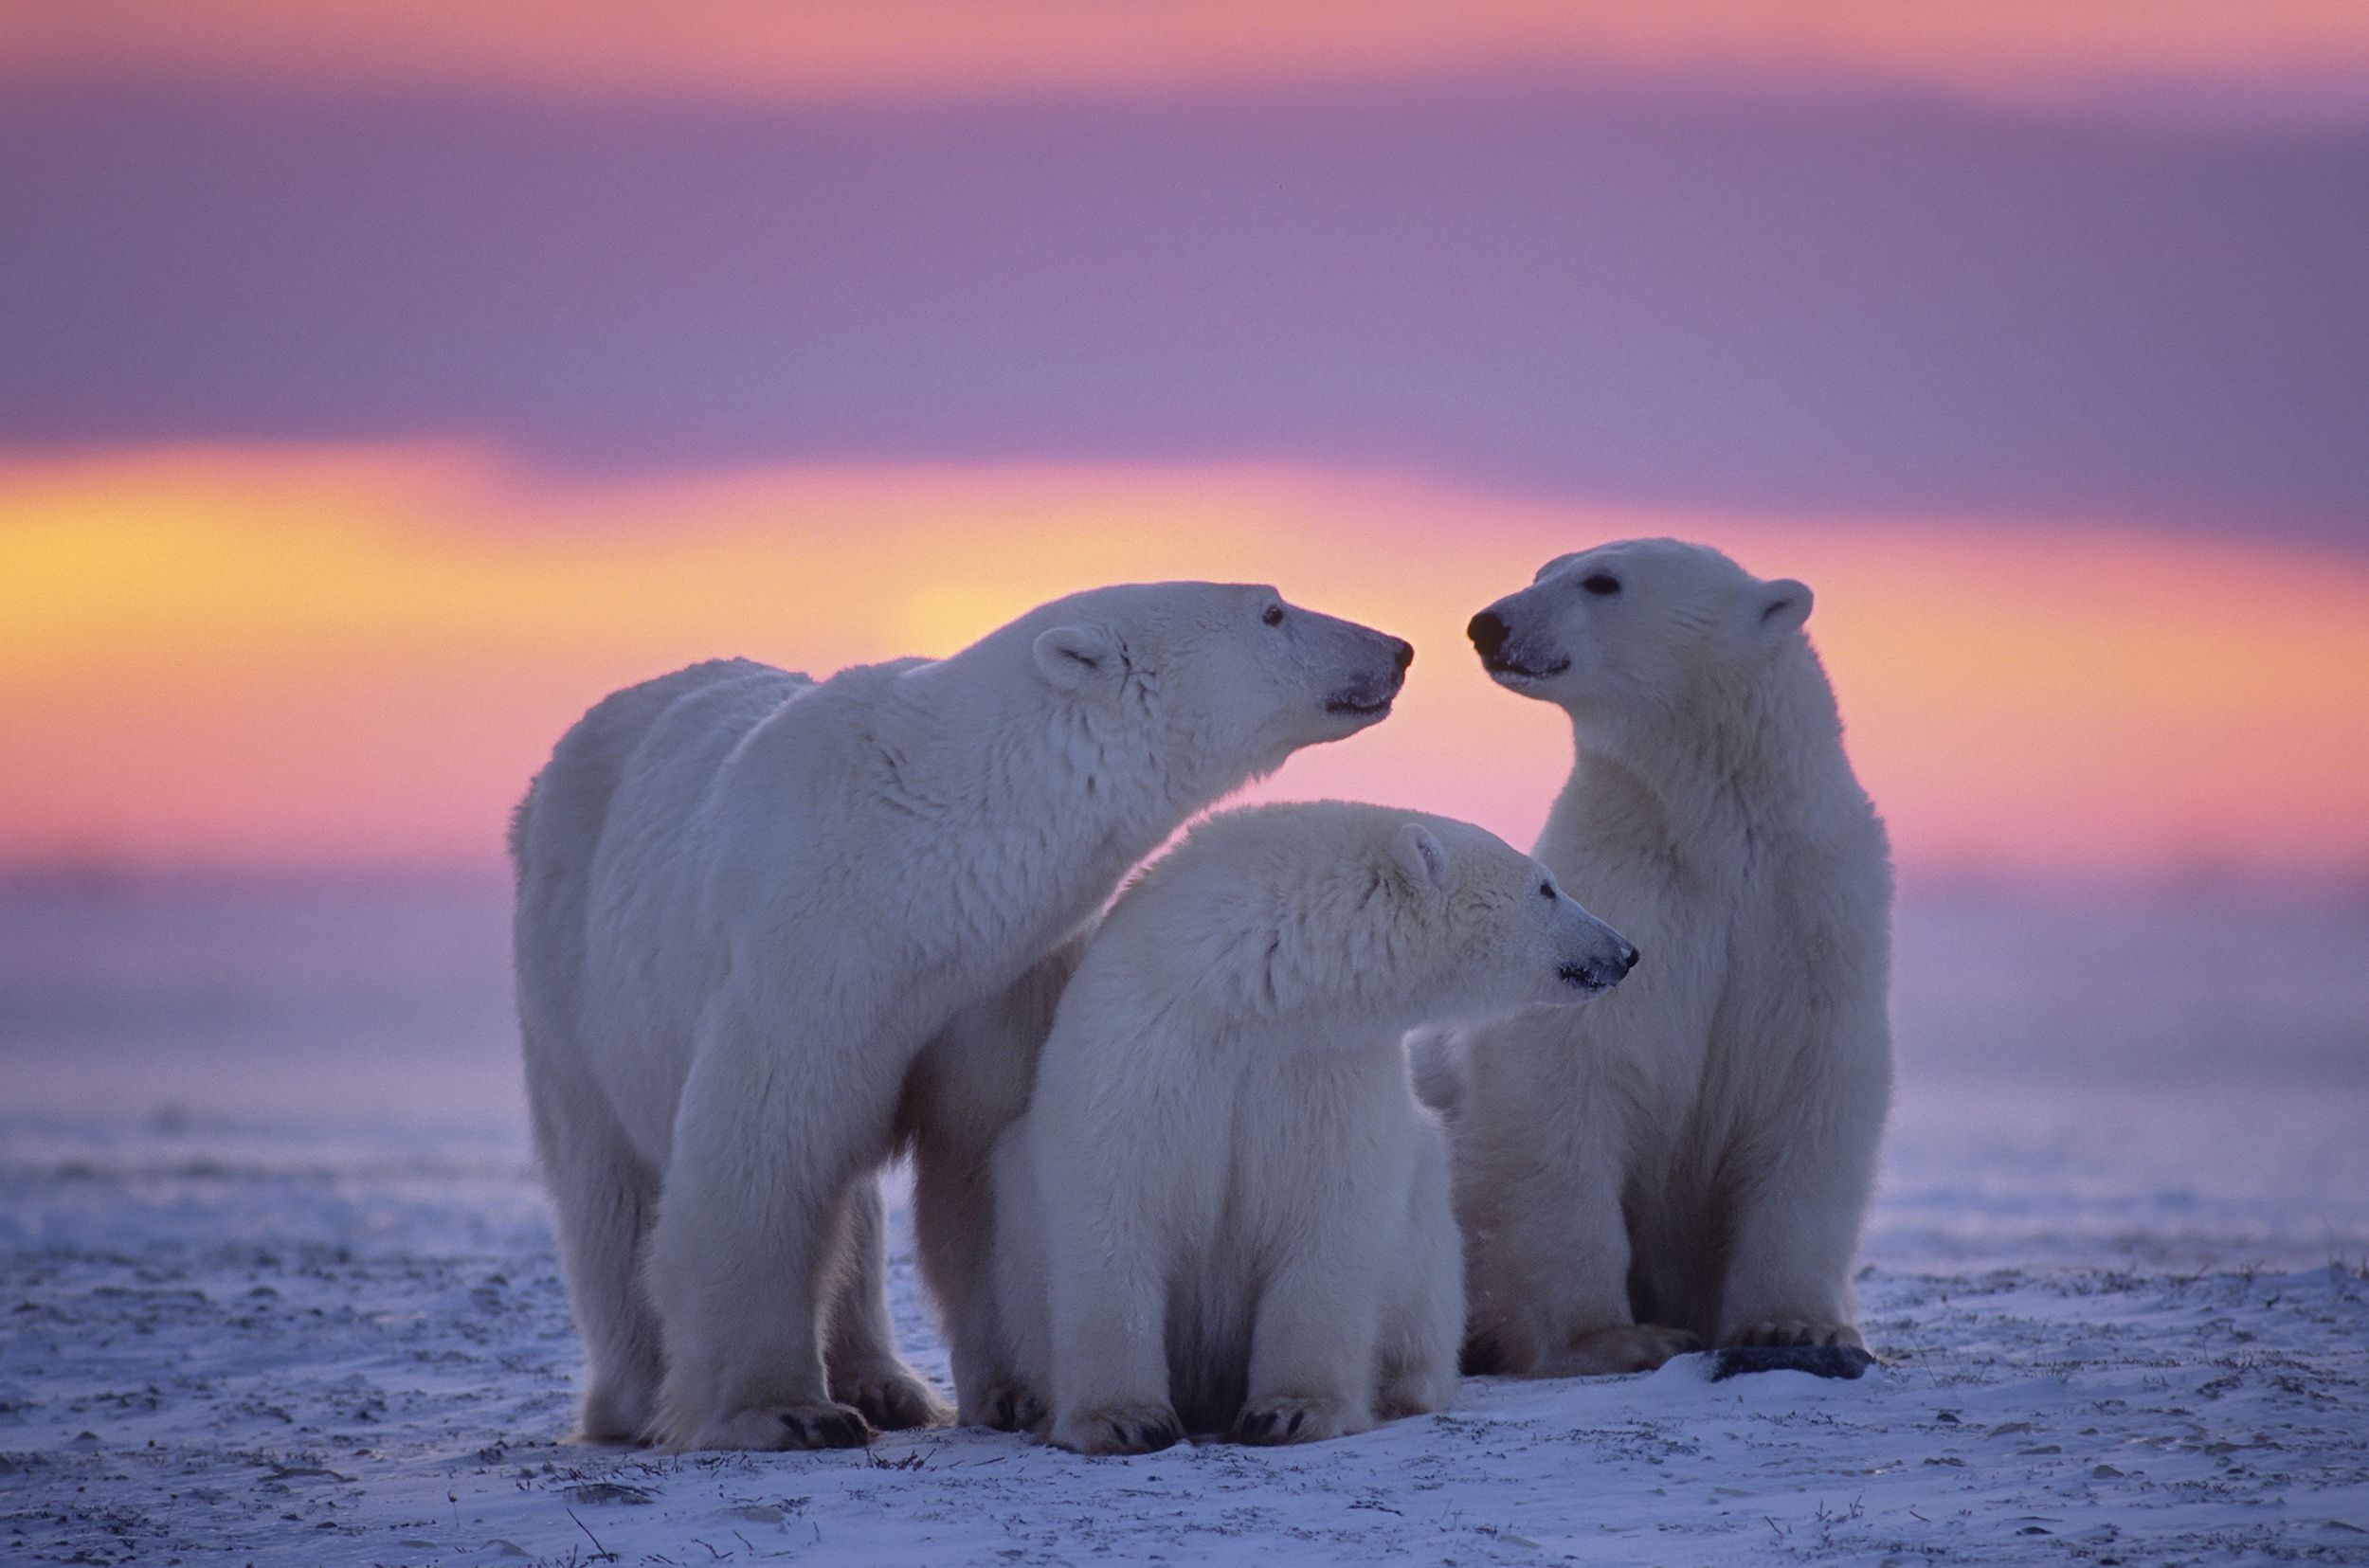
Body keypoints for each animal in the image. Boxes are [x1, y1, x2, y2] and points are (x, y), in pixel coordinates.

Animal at [509, 582, 1413, 1451]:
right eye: (1273, 610)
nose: (1397, 647)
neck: (917, 865)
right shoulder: (802, 955)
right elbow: (763, 1152)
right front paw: (787, 1413)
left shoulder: (999, 980)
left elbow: (984, 1159)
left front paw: (1017, 1392)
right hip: (569, 972)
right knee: (609, 1187)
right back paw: (636, 1399)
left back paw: (887, 1384)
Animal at [984, 800, 1640, 1454]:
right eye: (1546, 887)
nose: (1625, 951)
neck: (1252, 989)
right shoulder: (1144, 1042)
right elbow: (1112, 1203)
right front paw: (1125, 1420)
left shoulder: (1328, 1066)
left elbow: (1330, 1214)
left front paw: (1291, 1411)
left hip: (1426, 1242)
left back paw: (1402, 1387)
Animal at [1438, 537, 1893, 1377]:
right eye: (1544, 567)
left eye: (1602, 580)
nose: (1488, 624)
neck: (1711, 831)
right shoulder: (1621, 899)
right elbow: (1563, 1083)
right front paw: (1614, 1337)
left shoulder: (1811, 912)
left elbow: (1812, 1089)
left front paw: (1794, 1325)